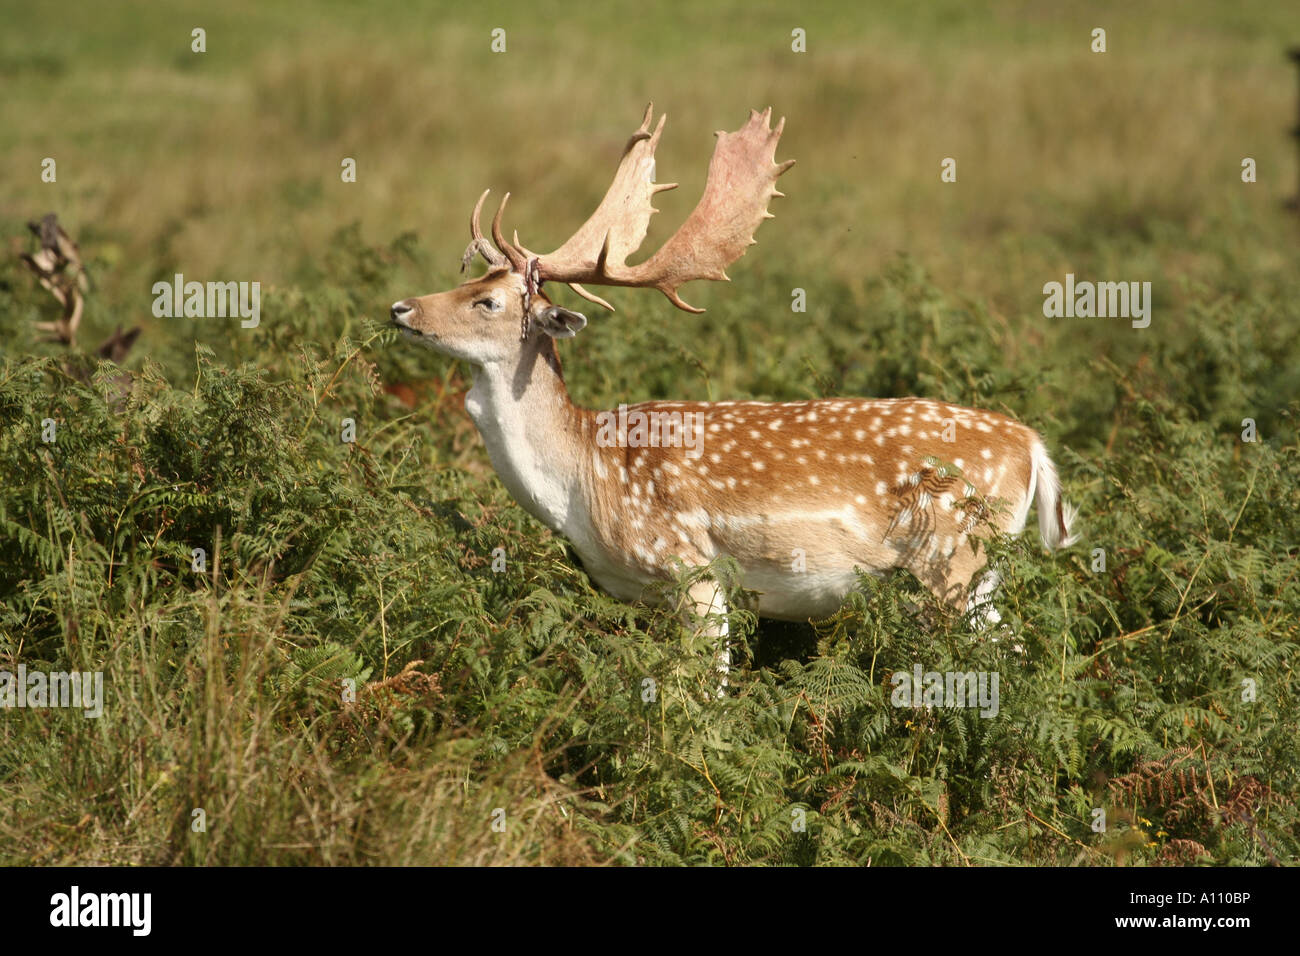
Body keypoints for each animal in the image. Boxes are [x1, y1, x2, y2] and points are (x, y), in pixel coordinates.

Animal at [390, 104, 1077, 692]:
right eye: (469, 278)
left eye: (488, 302)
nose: (401, 308)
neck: (584, 482)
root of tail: (1033, 447)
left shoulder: (690, 568)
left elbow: (699, 689)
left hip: (956, 560)